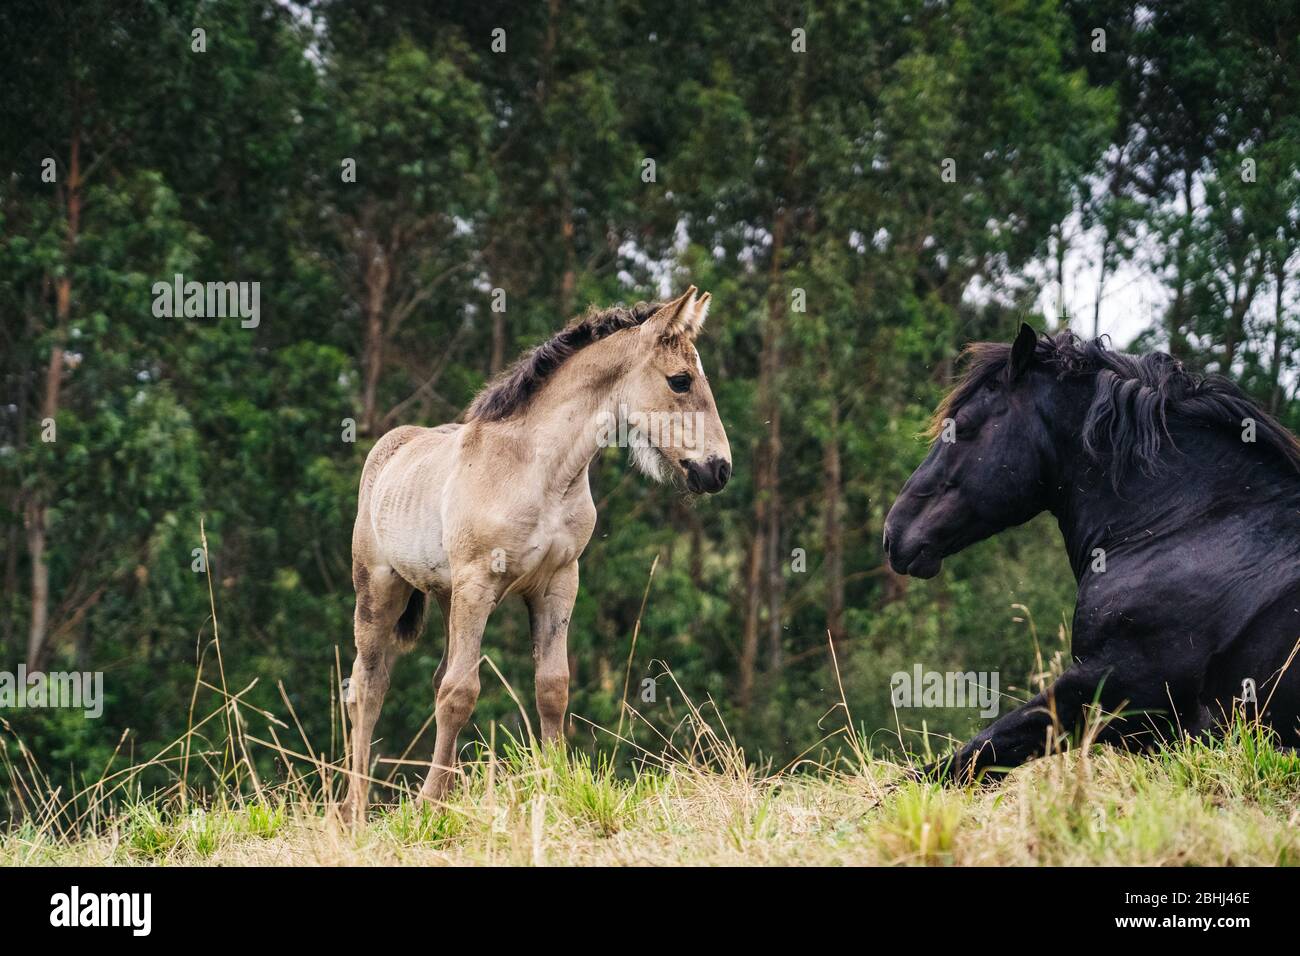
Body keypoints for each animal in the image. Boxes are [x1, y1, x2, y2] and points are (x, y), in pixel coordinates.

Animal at [341, 288, 731, 820]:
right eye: (680, 380)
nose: (719, 469)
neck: (539, 472)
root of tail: (389, 449)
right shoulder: (478, 583)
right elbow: (461, 693)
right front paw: (430, 804)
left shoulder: (558, 583)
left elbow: (551, 687)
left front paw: (556, 781)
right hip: (380, 589)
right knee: (368, 686)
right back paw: (354, 811)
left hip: (445, 596)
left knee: (433, 676)